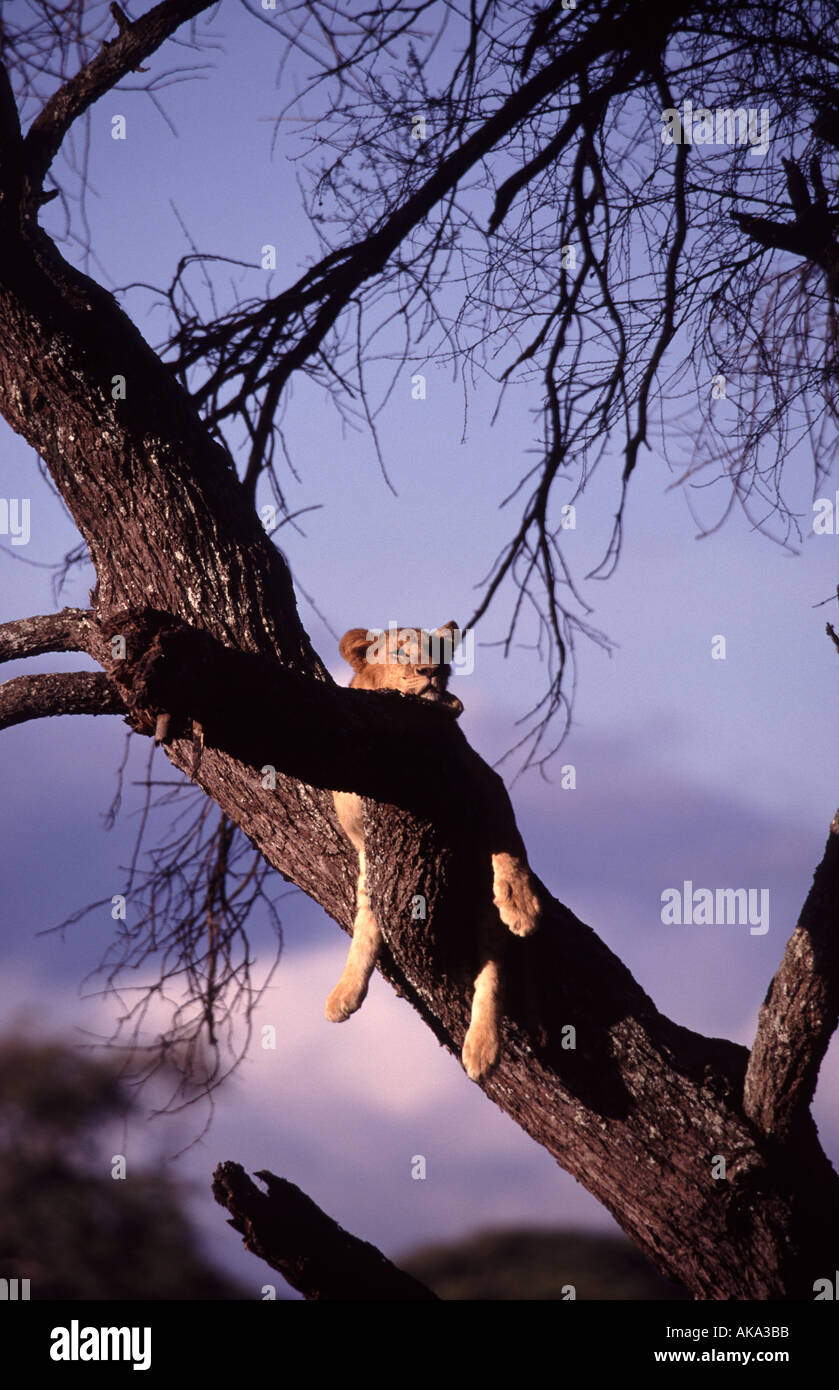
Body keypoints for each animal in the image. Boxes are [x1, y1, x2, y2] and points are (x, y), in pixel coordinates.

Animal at [328, 621, 541, 1081]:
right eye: (401, 652)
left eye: (439, 652)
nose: (432, 671)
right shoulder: (365, 847)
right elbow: (367, 916)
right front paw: (345, 992)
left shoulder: (488, 785)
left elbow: (510, 845)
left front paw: (521, 903)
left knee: (494, 963)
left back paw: (482, 1047)